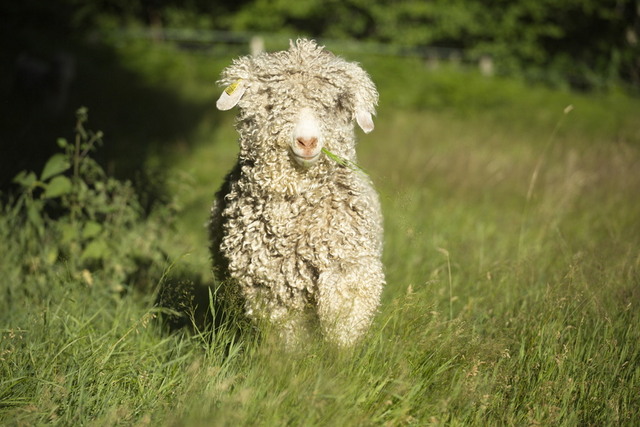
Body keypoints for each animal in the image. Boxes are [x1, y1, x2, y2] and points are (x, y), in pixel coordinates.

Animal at [209, 39, 385, 347]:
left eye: (335, 104)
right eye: (271, 101)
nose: (307, 141)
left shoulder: (349, 266)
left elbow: (343, 322)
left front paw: (339, 356)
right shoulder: (269, 281)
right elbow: (288, 332)